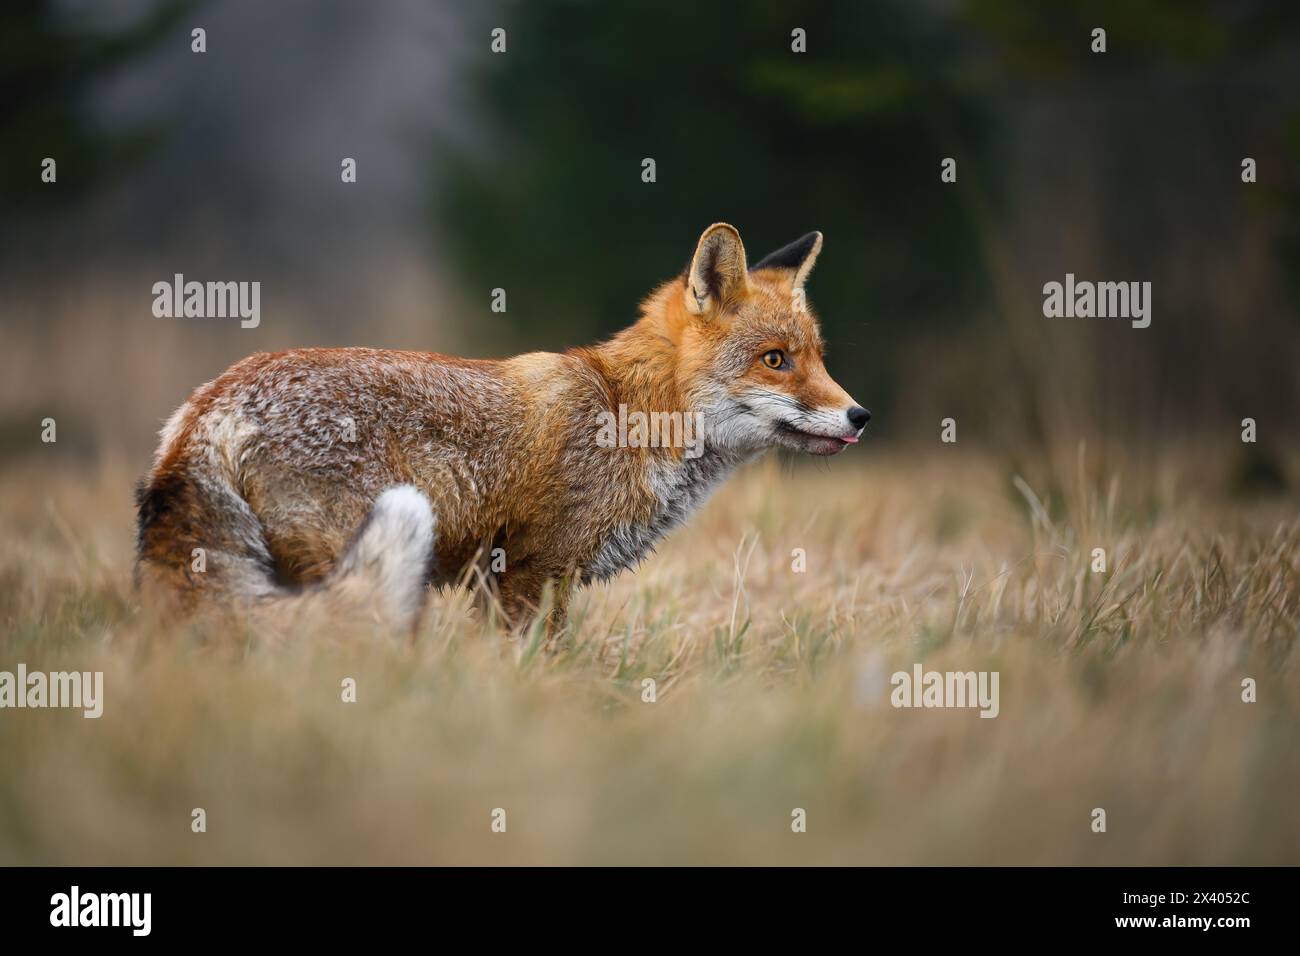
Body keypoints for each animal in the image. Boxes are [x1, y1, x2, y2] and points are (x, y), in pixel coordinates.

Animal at [135, 223, 870, 633]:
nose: (860, 416)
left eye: (819, 357)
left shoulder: (506, 582)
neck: (627, 413)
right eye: (775, 361)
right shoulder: (532, 572)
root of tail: (208, 405)